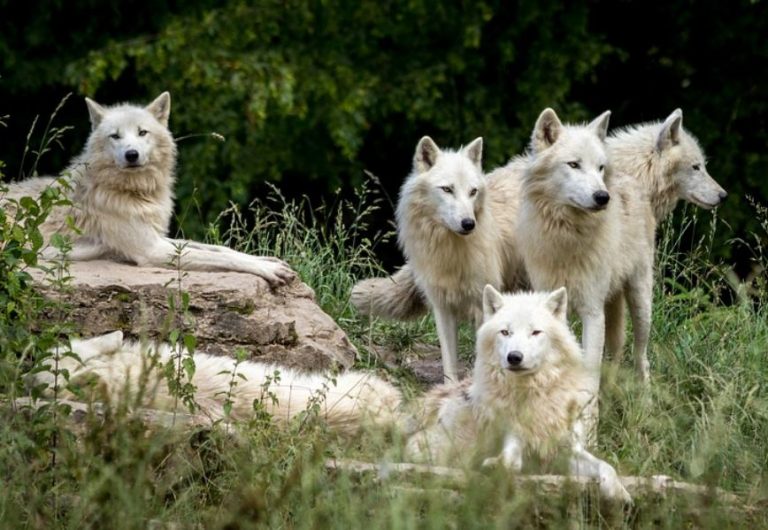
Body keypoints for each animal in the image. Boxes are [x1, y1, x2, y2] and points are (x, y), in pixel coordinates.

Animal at [2, 92, 294, 286]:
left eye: (142, 132)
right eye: (115, 136)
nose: (131, 154)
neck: (135, 194)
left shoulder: (160, 237)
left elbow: (221, 250)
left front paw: (269, 261)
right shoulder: (152, 250)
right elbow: (221, 258)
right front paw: (267, 270)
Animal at [354, 136, 526, 382]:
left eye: (472, 191)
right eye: (447, 189)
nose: (468, 224)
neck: (450, 251)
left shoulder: (481, 306)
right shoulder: (442, 306)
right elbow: (448, 362)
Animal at [405, 286, 631, 502]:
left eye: (536, 332)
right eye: (505, 332)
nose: (514, 357)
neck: (534, 393)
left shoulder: (568, 452)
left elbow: (605, 466)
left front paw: (618, 493)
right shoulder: (514, 437)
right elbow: (511, 460)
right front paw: (496, 466)